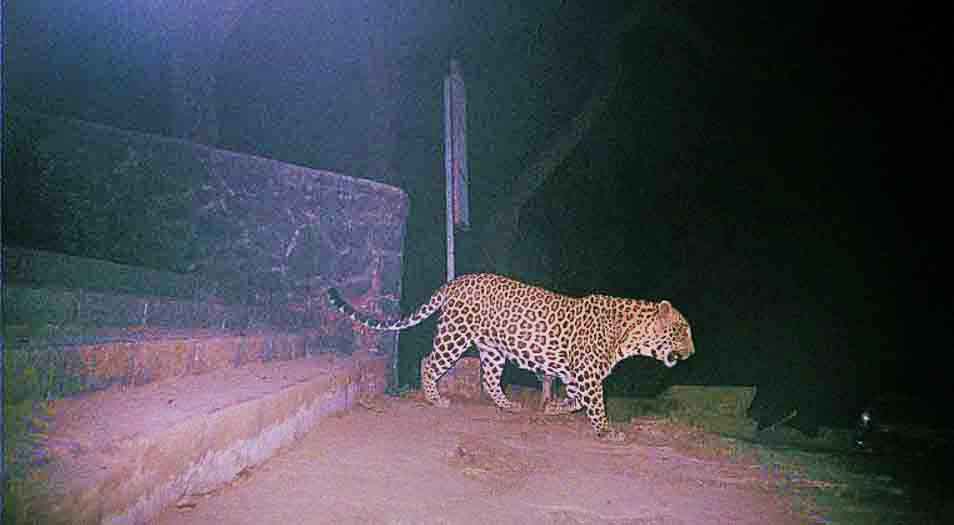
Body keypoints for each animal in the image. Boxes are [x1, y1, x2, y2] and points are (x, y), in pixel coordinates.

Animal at [327, 273, 695, 439]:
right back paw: (435, 399)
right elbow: (595, 404)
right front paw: (606, 430)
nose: (692, 352)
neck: (630, 336)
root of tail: (456, 280)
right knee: (429, 362)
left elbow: (576, 400)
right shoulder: (588, 375)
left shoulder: (575, 376)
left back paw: (509, 405)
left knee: (490, 380)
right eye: (682, 331)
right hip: (455, 335)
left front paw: (552, 408)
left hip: (492, 350)